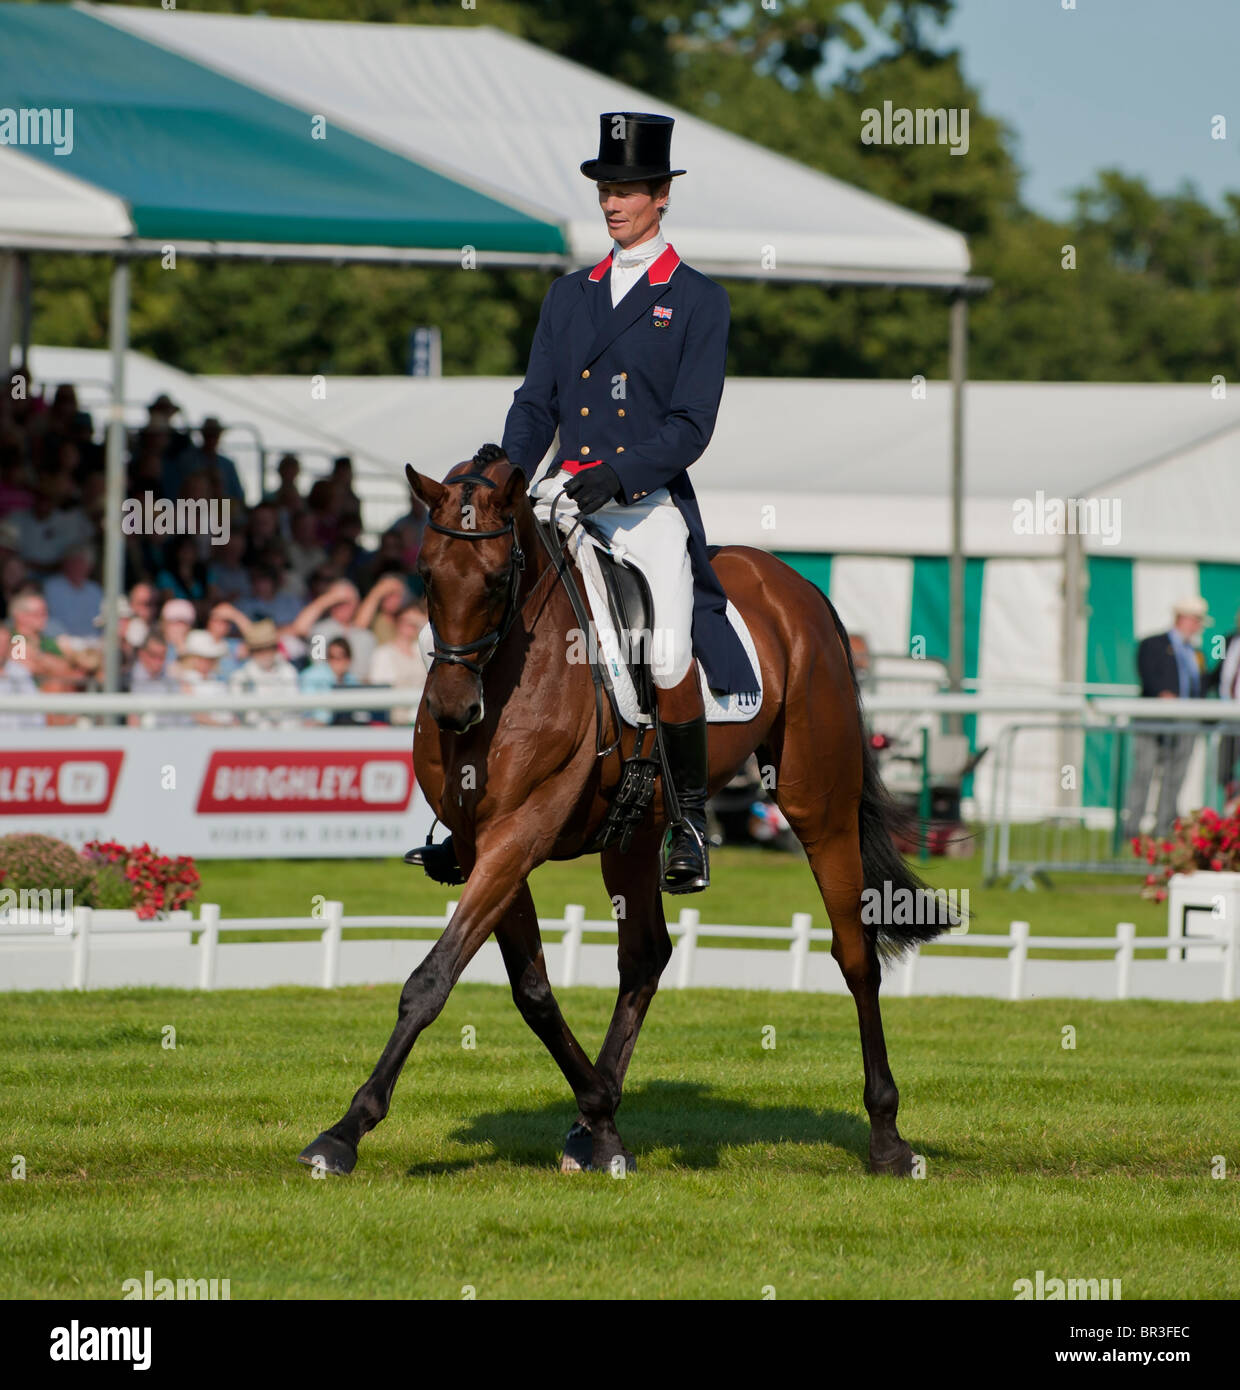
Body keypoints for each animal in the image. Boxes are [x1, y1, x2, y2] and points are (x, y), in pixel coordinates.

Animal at [298, 450, 950, 1178]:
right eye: (424, 573)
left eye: (497, 579)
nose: (452, 708)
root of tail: (797, 588)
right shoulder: (482, 843)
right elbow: (532, 990)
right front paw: (601, 1116)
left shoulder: (519, 833)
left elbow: (431, 978)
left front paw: (345, 1132)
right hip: (634, 833)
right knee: (645, 956)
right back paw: (594, 1125)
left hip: (821, 808)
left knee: (855, 951)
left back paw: (888, 1139)